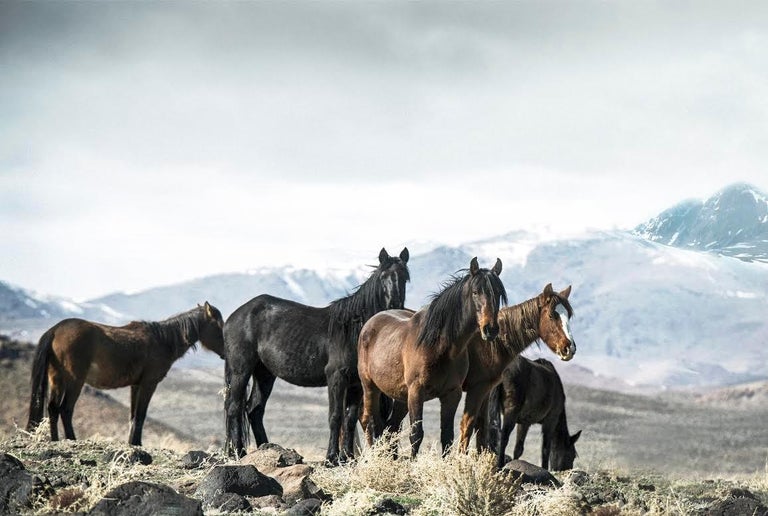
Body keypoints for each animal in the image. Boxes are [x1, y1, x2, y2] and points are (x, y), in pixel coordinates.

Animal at [27, 302, 225, 446]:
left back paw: (55, 440)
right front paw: (137, 443)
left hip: (57, 379)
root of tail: (55, 330)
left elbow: (133, 416)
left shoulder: (135, 385)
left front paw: (132, 443)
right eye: (219, 326)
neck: (162, 340)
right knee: (65, 409)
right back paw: (71, 440)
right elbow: (141, 415)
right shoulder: (148, 384)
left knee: (53, 408)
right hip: (75, 381)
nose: (226, 351)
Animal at [224, 247, 410, 464]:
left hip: (265, 374)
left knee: (254, 410)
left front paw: (348, 457)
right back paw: (237, 453)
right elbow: (335, 416)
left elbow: (349, 418)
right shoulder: (336, 377)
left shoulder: (355, 383)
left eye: (405, 277)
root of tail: (234, 316)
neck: (353, 329)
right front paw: (331, 458)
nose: (394, 304)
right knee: (234, 407)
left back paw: (266, 449)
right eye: (383, 276)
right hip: (241, 370)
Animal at [358, 257, 507, 458]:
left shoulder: (451, 394)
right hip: (370, 386)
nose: (490, 329)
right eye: (475, 292)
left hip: (401, 397)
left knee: (390, 427)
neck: (439, 347)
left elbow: (447, 437)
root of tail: (370, 324)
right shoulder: (416, 391)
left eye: (498, 293)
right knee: (370, 421)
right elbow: (416, 434)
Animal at [459, 283, 577, 468]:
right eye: (552, 315)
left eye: (569, 316)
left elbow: (513, 446)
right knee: (503, 437)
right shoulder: (549, 421)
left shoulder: (523, 421)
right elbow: (545, 450)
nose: (569, 349)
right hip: (510, 411)